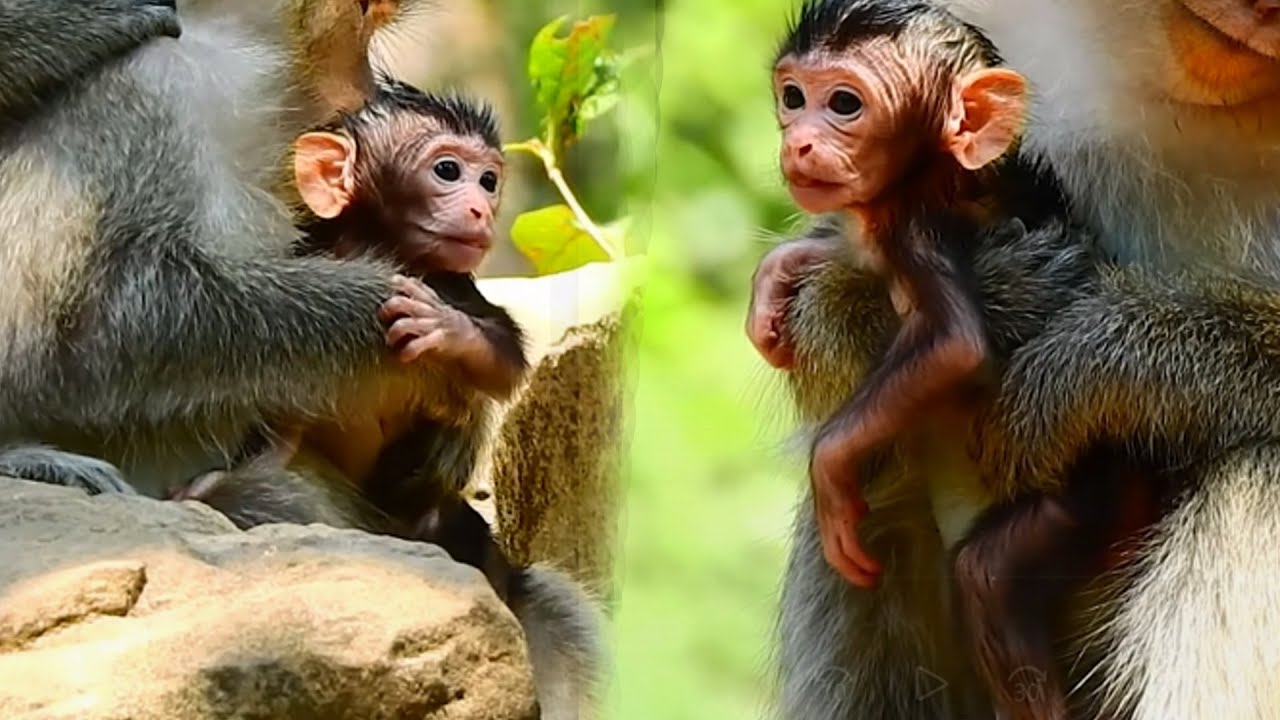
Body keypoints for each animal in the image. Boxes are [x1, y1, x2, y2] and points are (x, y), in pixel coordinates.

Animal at [748, 1, 1280, 719]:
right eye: (793, 98)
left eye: (845, 104)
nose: (801, 145)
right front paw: (821, 291)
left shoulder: (920, 231)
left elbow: (960, 343)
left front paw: (1094, 364)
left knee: (1250, 474)